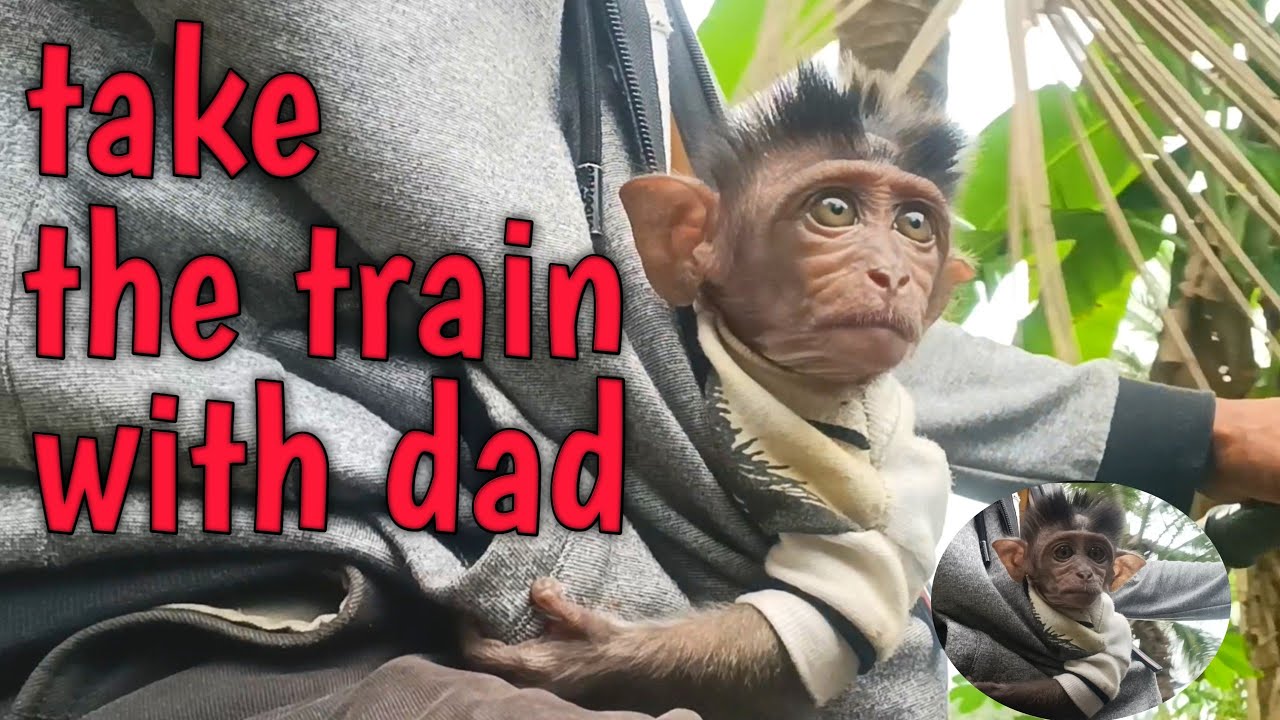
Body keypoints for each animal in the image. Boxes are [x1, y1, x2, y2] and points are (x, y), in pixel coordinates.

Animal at [460, 55, 976, 720]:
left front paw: (593, 654)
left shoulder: (893, 453)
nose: (893, 274)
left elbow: (829, 607)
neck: (782, 377)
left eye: (914, 224)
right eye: (835, 211)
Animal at [974, 486, 1148, 720]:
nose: (1085, 573)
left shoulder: (1117, 629)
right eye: (1064, 552)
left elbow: (1079, 691)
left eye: (1096, 554)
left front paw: (991, 691)